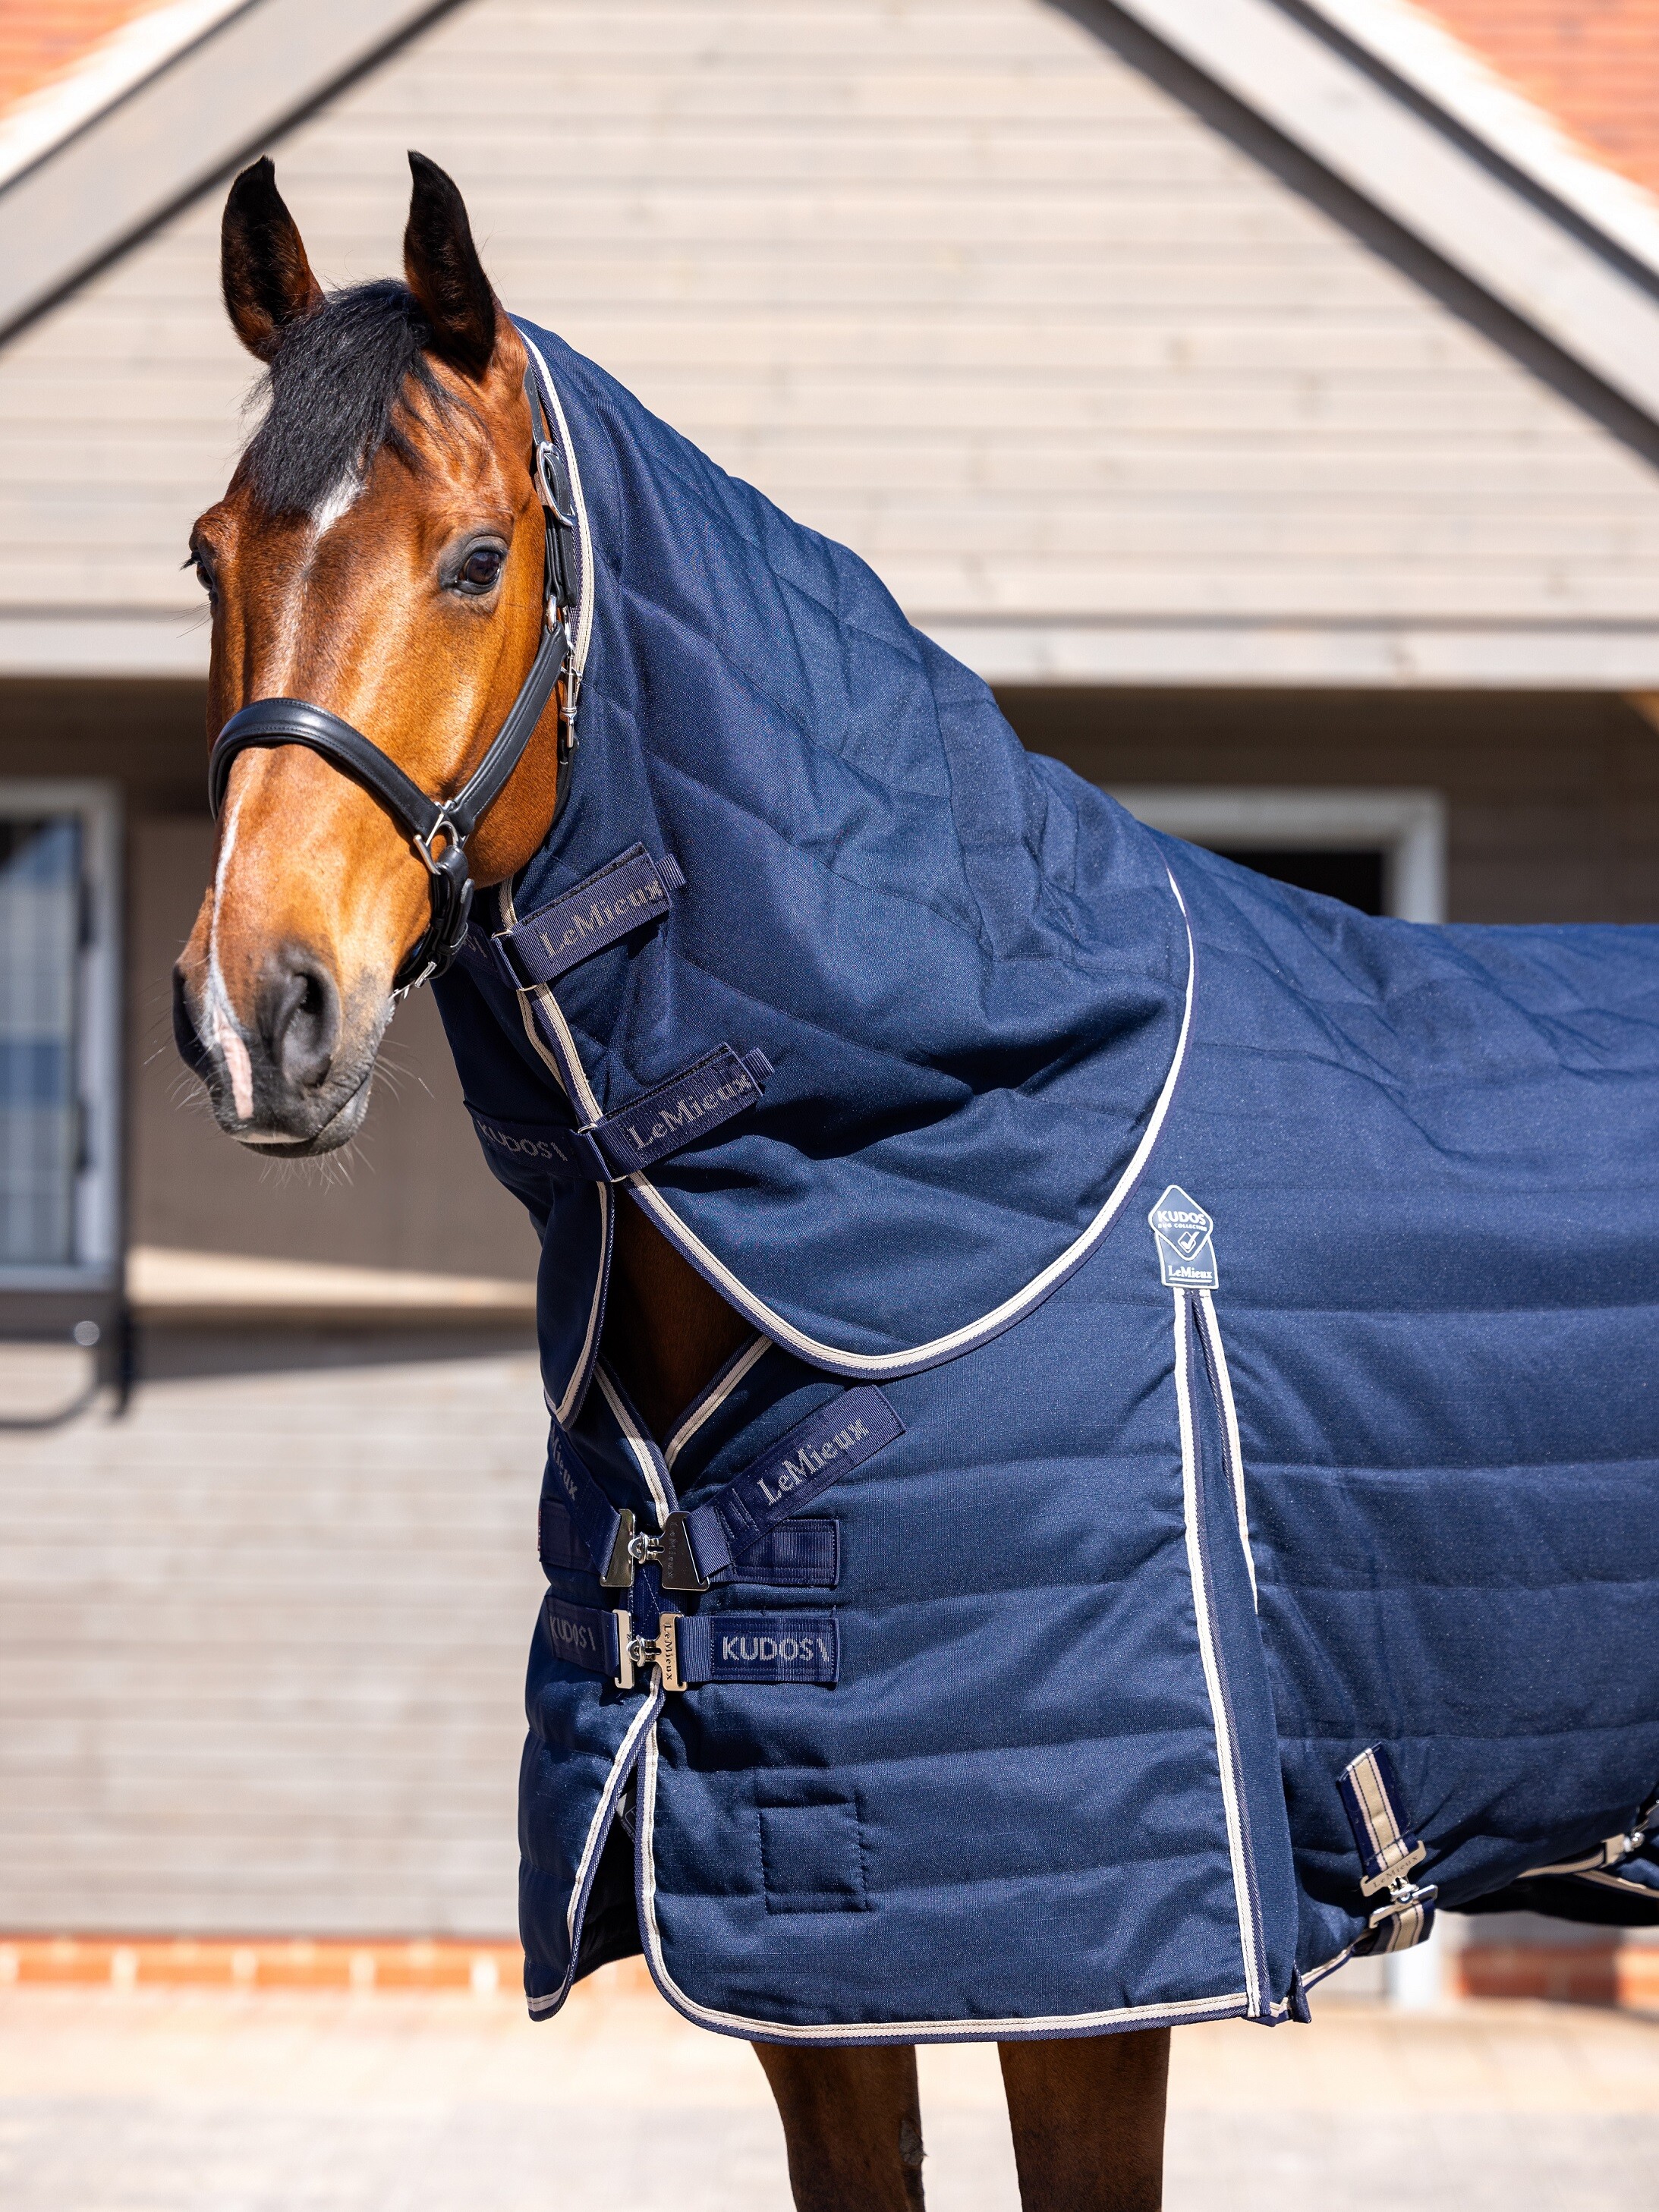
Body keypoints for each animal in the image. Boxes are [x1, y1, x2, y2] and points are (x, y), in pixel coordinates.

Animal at [176, 152, 1659, 2209]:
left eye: (475, 559)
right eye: (208, 560)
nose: (259, 1008)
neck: (975, 1134)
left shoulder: (1084, 1980)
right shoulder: (808, 1966)